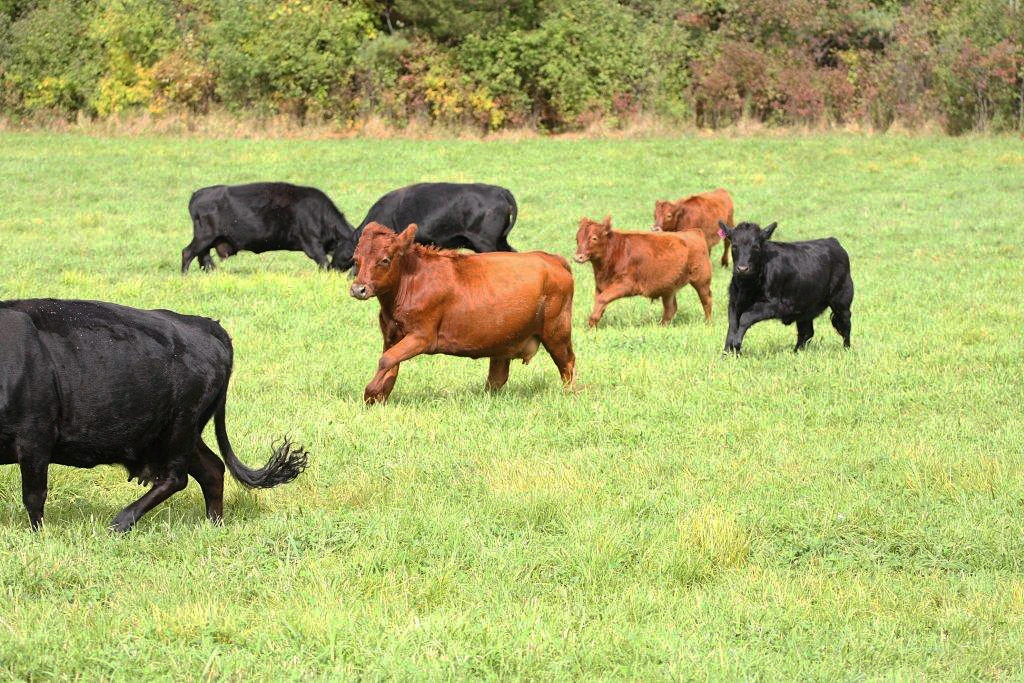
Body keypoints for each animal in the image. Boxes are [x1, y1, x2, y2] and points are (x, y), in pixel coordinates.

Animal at [0, 299, 309, 531]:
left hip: (179, 427)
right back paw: (214, 524)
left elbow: (34, 496)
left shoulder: (35, 437)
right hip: (177, 433)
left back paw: (121, 522)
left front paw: (38, 536)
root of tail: (205, 324)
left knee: (177, 478)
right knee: (212, 469)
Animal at [181, 182, 357, 273]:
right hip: (205, 236)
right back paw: (185, 275)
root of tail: (198, 193)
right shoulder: (312, 243)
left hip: (211, 239)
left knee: (203, 257)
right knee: (187, 252)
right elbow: (324, 263)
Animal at [348, 222, 574, 404]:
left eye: (385, 260)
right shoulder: (391, 337)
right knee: (497, 378)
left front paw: (370, 393)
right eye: (356, 259)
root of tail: (552, 259)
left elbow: (386, 360)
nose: (358, 289)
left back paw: (568, 394)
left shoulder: (421, 336)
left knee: (567, 363)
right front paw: (378, 398)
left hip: (557, 332)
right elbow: (391, 364)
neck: (410, 282)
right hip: (504, 341)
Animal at [574, 215, 713, 328]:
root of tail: (694, 232)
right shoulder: (600, 286)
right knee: (670, 308)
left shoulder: (626, 284)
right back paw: (661, 326)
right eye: (577, 239)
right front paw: (593, 324)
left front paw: (592, 321)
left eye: (594, 238)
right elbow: (600, 300)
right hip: (668, 287)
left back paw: (708, 323)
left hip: (702, 281)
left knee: (706, 300)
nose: (578, 257)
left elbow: (602, 299)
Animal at [720, 221, 854, 354]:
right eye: (734, 246)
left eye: (756, 247)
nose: (742, 269)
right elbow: (732, 325)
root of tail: (832, 241)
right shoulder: (734, 303)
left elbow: (745, 317)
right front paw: (727, 352)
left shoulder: (775, 304)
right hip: (804, 306)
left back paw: (846, 349)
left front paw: (736, 344)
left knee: (845, 324)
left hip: (841, 300)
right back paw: (796, 352)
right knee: (806, 332)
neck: (747, 286)